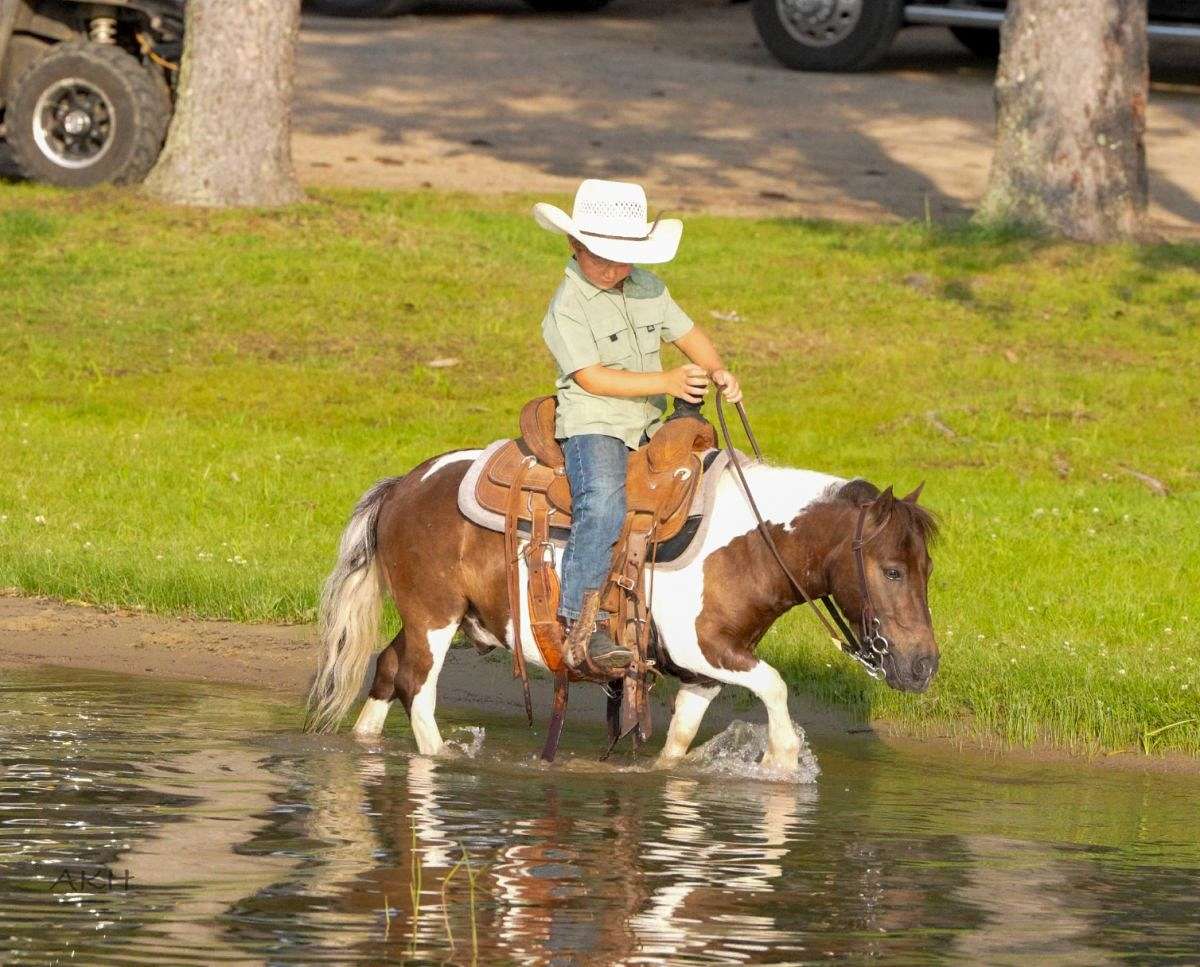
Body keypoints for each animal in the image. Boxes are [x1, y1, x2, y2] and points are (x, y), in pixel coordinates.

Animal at [303, 449, 939, 772]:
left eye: (927, 569)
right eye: (892, 570)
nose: (924, 666)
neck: (750, 544)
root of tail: (405, 484)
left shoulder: (702, 675)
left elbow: (677, 746)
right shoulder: (705, 649)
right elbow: (778, 689)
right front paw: (781, 765)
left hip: (438, 620)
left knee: (387, 669)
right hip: (433, 617)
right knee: (418, 687)